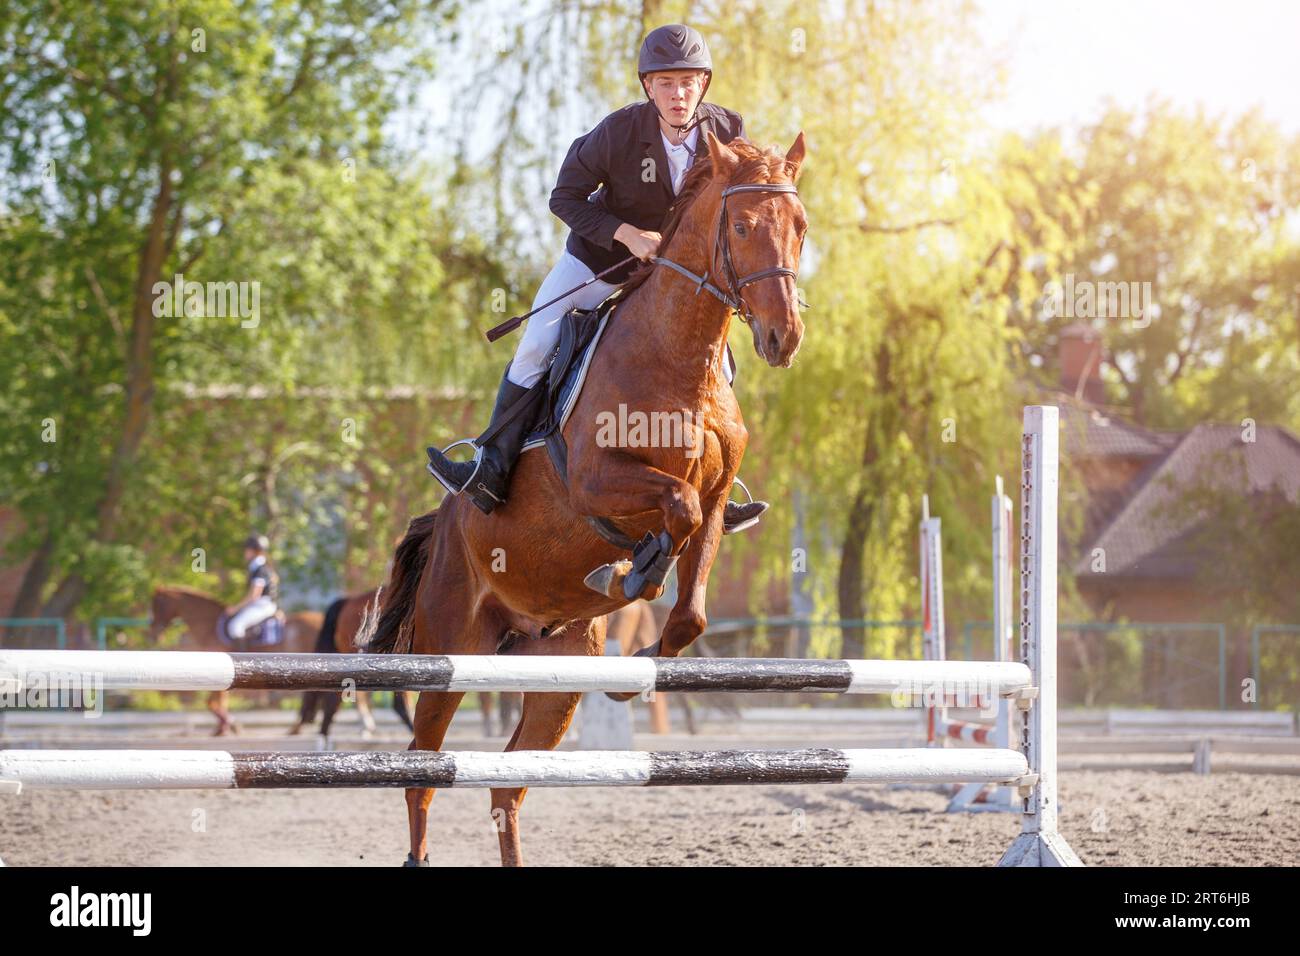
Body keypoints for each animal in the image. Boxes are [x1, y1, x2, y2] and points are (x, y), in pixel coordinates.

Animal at [146, 586, 322, 735]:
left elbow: (213, 702)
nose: (153, 634)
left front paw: (230, 727)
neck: (210, 624)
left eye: (157, 605)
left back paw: (297, 727)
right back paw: (297, 727)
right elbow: (216, 702)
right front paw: (225, 728)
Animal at [366, 131, 807, 866]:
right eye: (742, 226)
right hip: (450, 648)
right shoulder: (597, 481)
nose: (784, 338)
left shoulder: (718, 499)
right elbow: (675, 507)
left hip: (553, 679)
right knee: (422, 772)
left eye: (800, 227)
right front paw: (628, 571)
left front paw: (640, 655)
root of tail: (444, 522)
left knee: (506, 788)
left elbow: (691, 606)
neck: (679, 355)